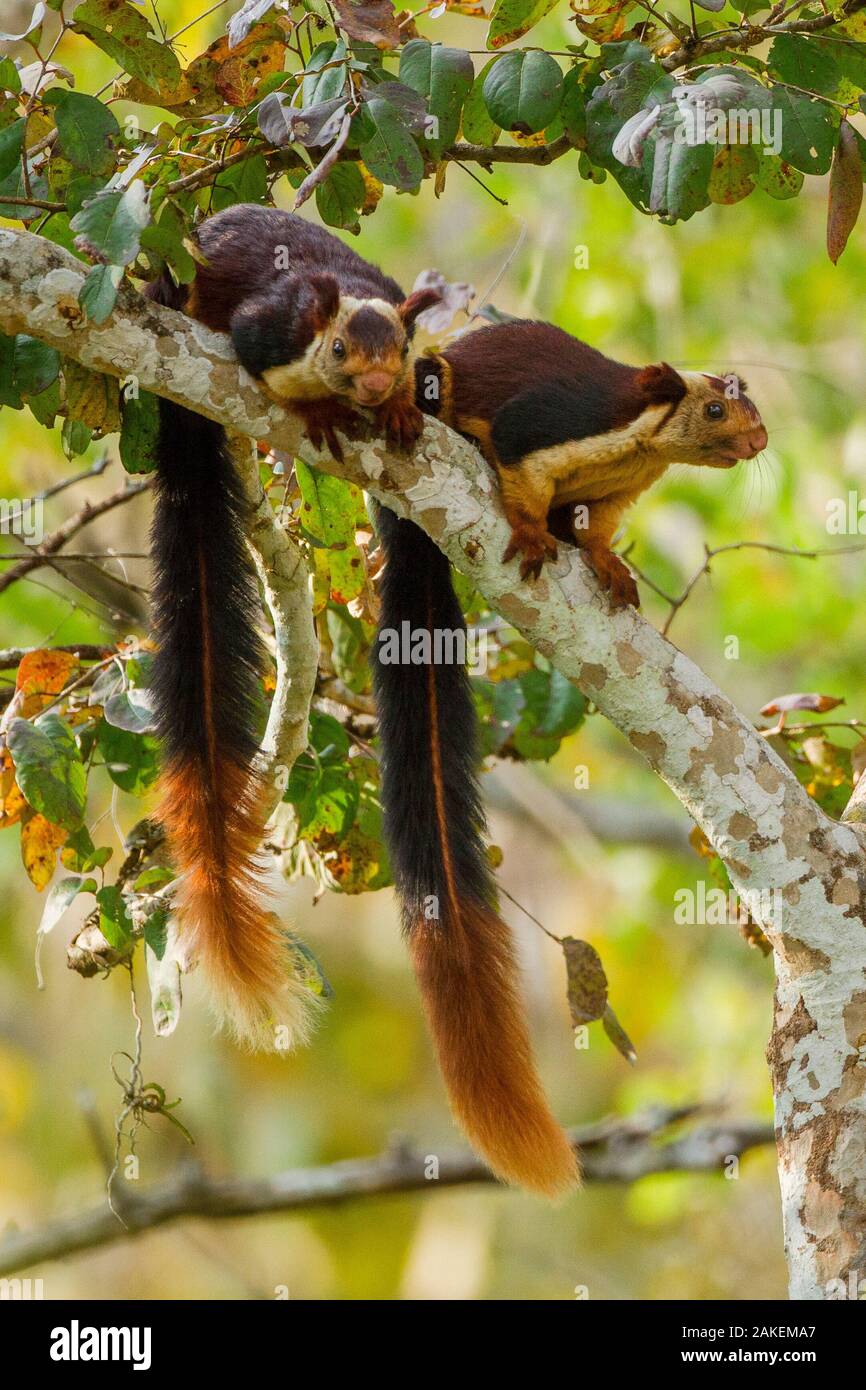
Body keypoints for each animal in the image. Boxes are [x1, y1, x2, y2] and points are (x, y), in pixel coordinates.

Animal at [144, 205, 437, 1046]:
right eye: (339, 349)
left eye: (397, 352)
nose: (372, 384)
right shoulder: (268, 327)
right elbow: (253, 354)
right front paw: (318, 411)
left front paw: (398, 407)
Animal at [372, 320, 768, 1196]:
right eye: (714, 407)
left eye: (753, 405)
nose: (760, 441)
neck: (637, 445)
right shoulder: (543, 428)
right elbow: (521, 477)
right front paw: (526, 533)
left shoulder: (619, 493)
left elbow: (593, 527)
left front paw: (608, 563)